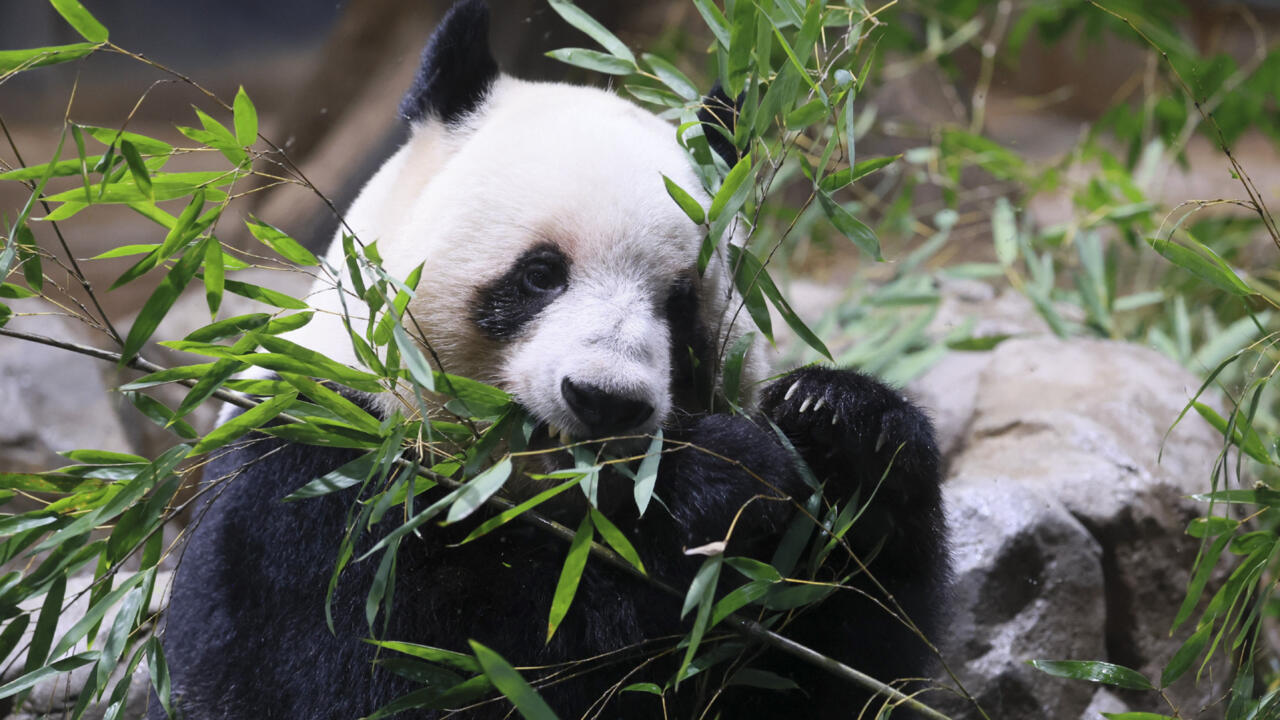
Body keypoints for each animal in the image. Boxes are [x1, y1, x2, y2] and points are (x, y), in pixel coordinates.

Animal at [152, 2, 950, 719]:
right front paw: (712, 480)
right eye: (541, 273)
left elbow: (832, 668)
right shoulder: (315, 468)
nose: (604, 398)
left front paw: (843, 426)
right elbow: (395, 664)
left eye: (680, 304)